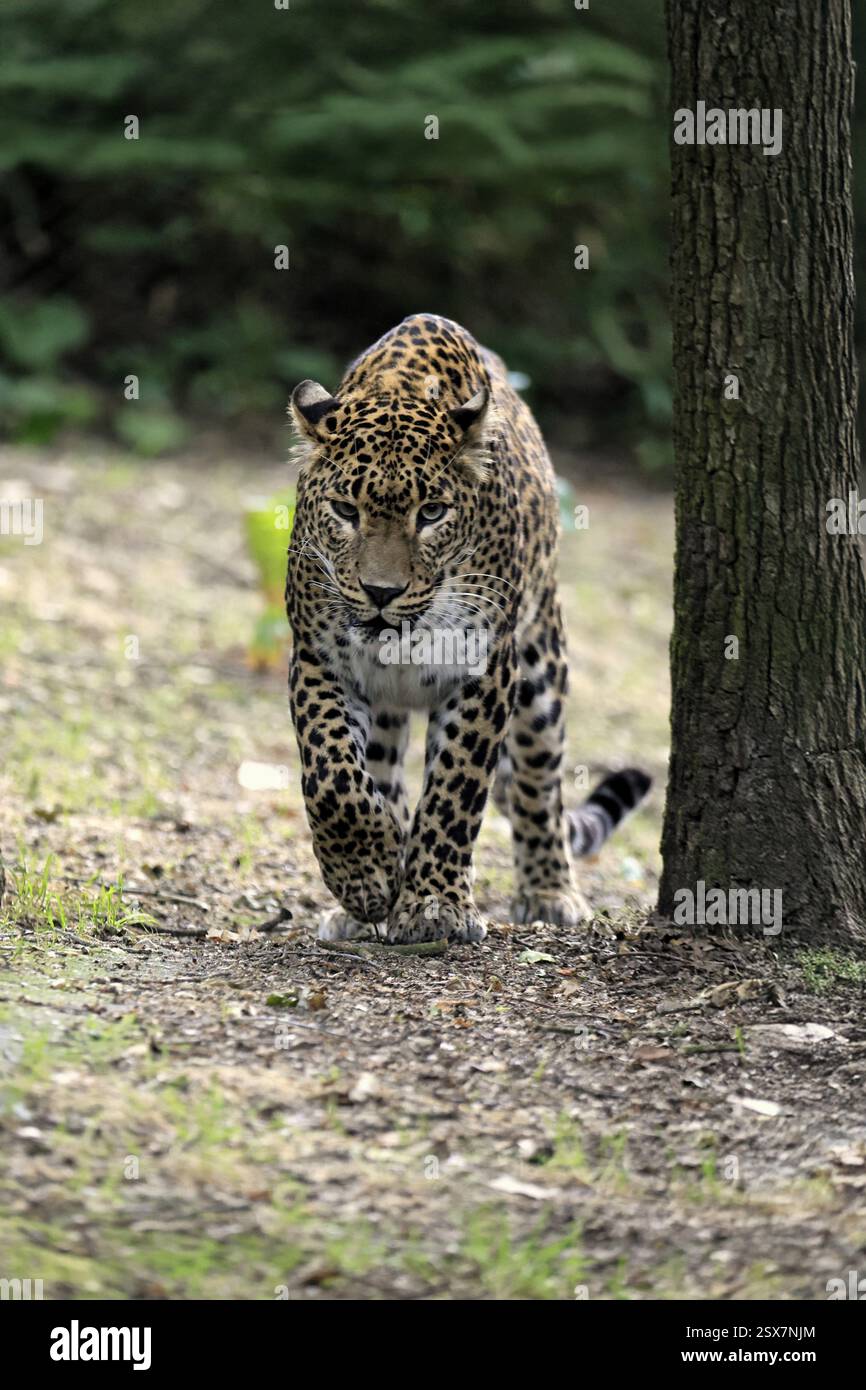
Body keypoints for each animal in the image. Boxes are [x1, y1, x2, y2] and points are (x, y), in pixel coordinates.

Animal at [285, 313, 650, 943]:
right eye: (345, 511)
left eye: (431, 513)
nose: (381, 593)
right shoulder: (317, 657)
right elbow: (332, 775)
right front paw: (368, 875)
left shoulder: (484, 670)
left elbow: (456, 787)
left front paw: (435, 905)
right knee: (383, 768)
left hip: (542, 668)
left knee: (538, 782)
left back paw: (550, 891)